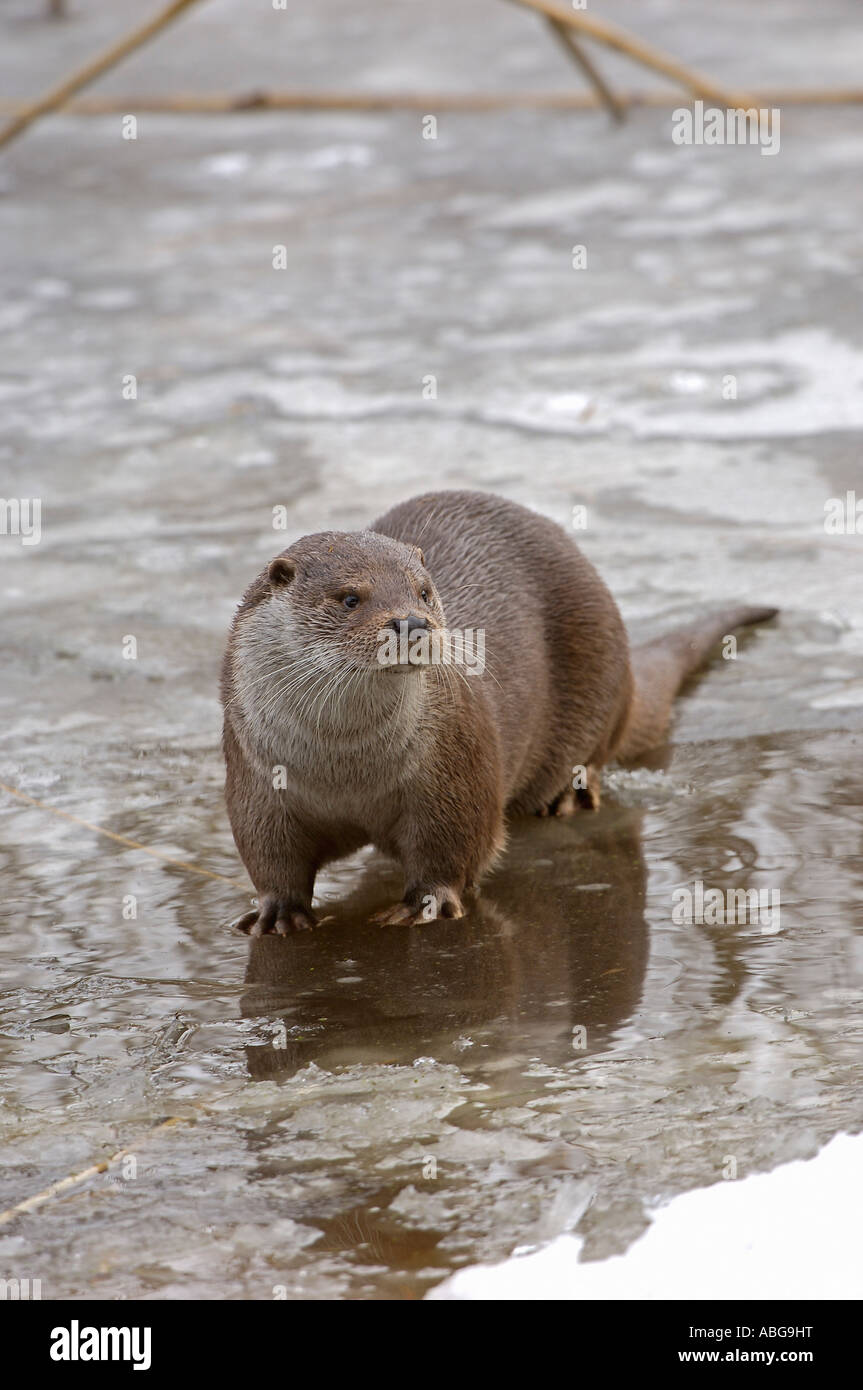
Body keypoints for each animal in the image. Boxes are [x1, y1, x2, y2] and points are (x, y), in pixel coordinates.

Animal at [221, 490, 776, 932]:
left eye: (424, 591)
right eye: (350, 598)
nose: (411, 622)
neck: (346, 772)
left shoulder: (454, 762)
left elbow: (455, 842)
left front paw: (426, 902)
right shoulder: (255, 776)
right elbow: (270, 855)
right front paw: (278, 913)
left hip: (602, 658)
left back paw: (567, 795)